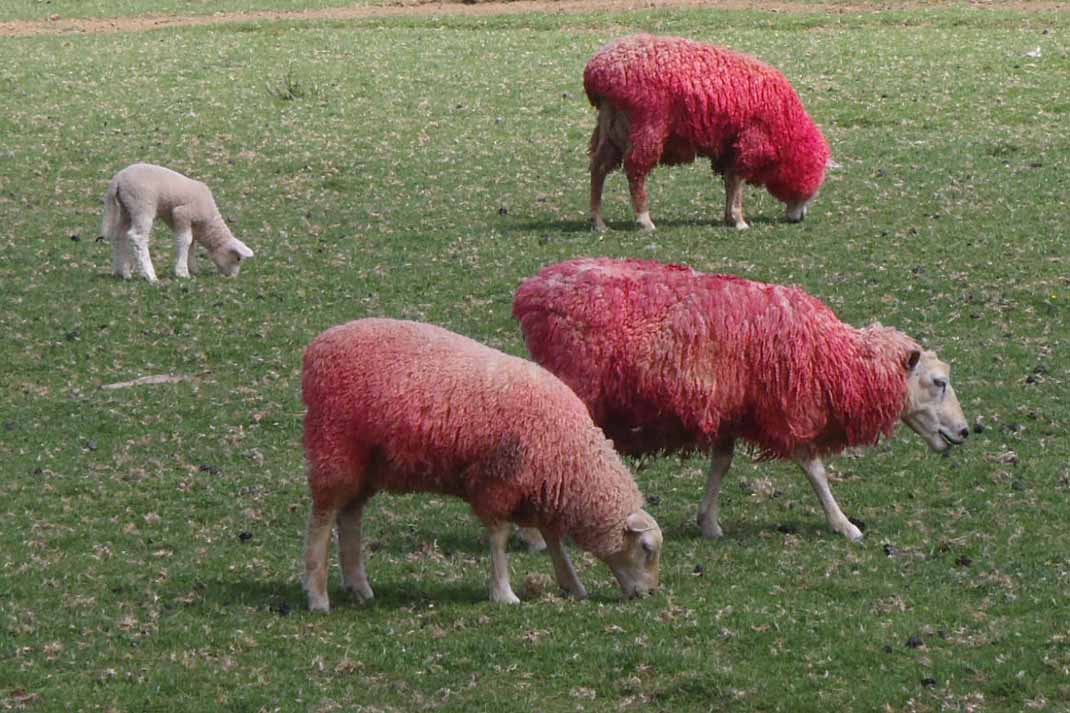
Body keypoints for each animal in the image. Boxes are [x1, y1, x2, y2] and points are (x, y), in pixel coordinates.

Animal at [101, 163, 253, 282]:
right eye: (238, 258)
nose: (233, 277)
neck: (207, 224)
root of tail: (118, 179)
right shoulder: (182, 214)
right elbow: (185, 240)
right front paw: (182, 272)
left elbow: (191, 243)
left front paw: (193, 268)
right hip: (141, 204)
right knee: (138, 237)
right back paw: (150, 275)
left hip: (126, 208)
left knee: (118, 235)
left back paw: (122, 271)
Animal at [300, 318, 662, 610]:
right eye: (646, 548)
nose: (650, 594)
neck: (572, 458)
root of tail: (317, 348)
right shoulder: (499, 483)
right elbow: (499, 537)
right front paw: (503, 593)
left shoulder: (538, 488)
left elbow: (554, 539)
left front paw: (571, 584)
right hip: (334, 449)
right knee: (322, 521)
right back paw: (318, 596)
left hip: (364, 465)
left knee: (350, 518)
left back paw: (359, 587)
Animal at [513, 258, 969, 543]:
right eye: (939, 382)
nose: (966, 430)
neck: (834, 356)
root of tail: (532, 292)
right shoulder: (785, 406)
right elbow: (814, 469)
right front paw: (844, 525)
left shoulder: (731, 407)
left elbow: (722, 462)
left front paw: (709, 523)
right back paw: (533, 535)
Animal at [583, 34, 832, 231]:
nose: (799, 218)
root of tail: (598, 71)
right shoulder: (751, 142)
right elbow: (738, 180)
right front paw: (739, 220)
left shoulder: (730, 146)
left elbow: (730, 181)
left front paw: (729, 217)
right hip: (646, 125)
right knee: (635, 171)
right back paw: (644, 220)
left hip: (612, 127)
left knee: (599, 168)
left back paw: (598, 222)